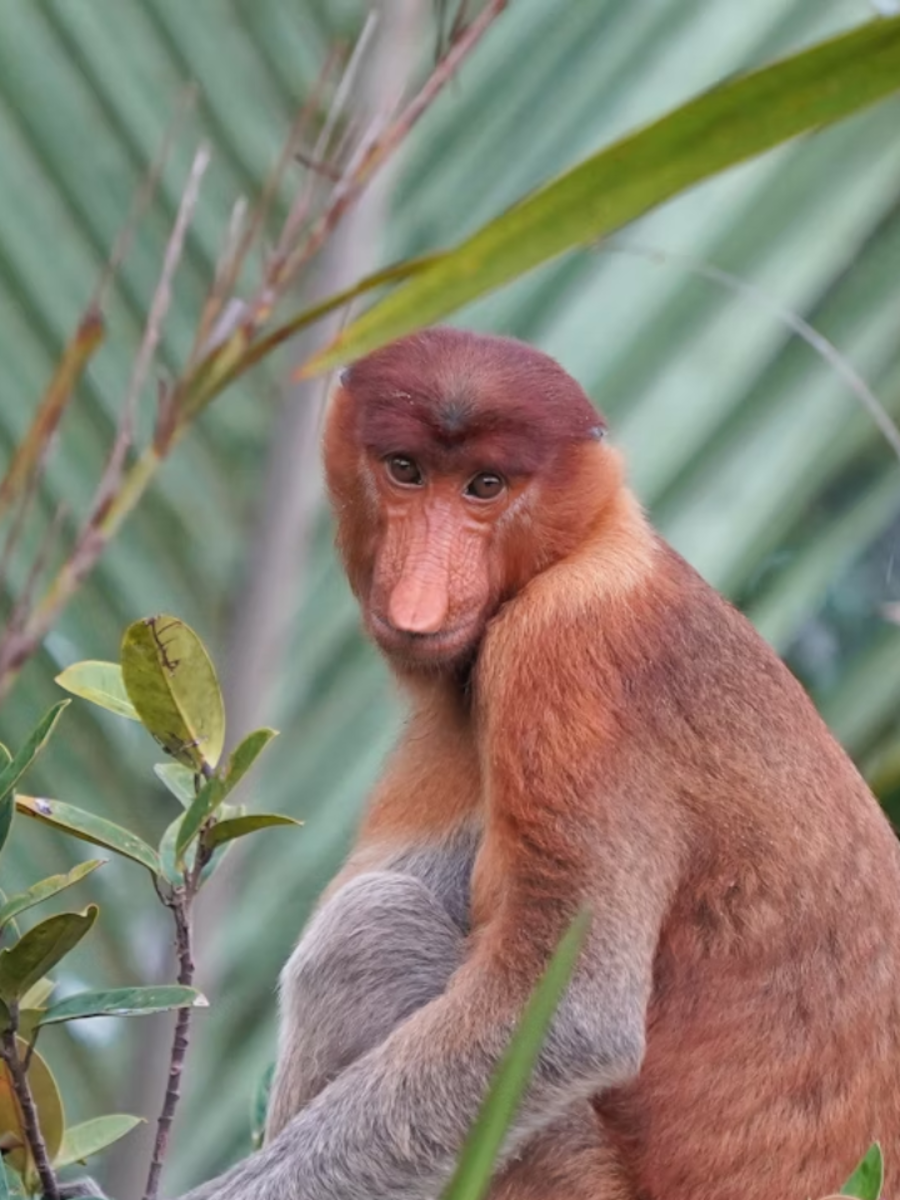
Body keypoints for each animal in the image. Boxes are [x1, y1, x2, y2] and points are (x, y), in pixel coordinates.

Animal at [176, 327, 900, 1200]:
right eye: (405, 469)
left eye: (486, 486)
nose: (420, 597)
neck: (582, 548)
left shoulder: (565, 657)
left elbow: (567, 1017)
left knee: (366, 929)